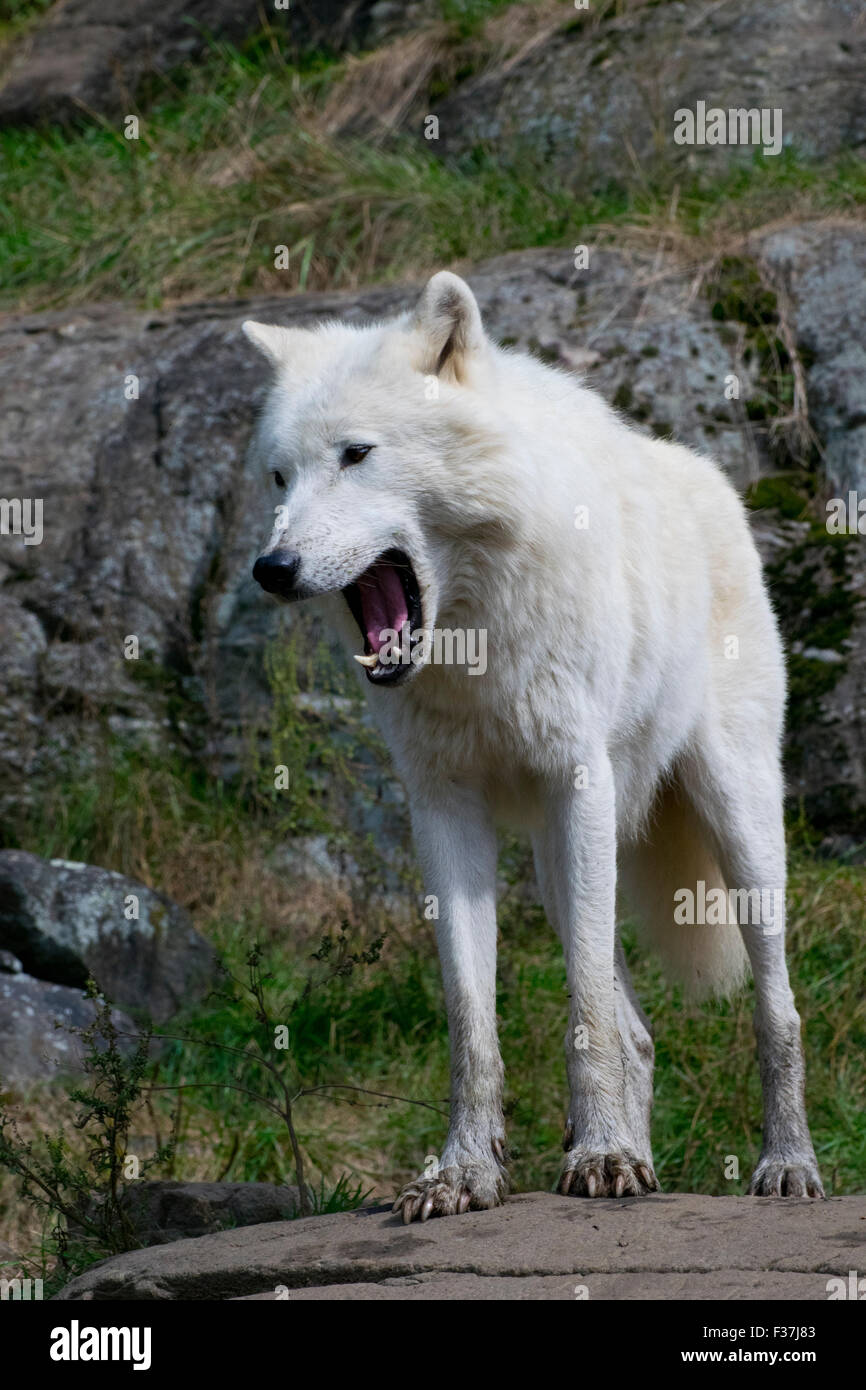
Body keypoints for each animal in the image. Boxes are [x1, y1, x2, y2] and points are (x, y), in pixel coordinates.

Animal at [242, 270, 823, 1220]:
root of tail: (709, 476)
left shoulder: (576, 782)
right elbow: (472, 1020)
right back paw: (645, 1155)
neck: (473, 645)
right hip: (560, 862)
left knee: (777, 1009)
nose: (272, 567)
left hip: (732, 824)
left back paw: (786, 1166)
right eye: (280, 476)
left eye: (357, 455)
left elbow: (583, 1006)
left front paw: (602, 1156)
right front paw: (465, 1172)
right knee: (640, 1032)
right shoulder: (443, 810)